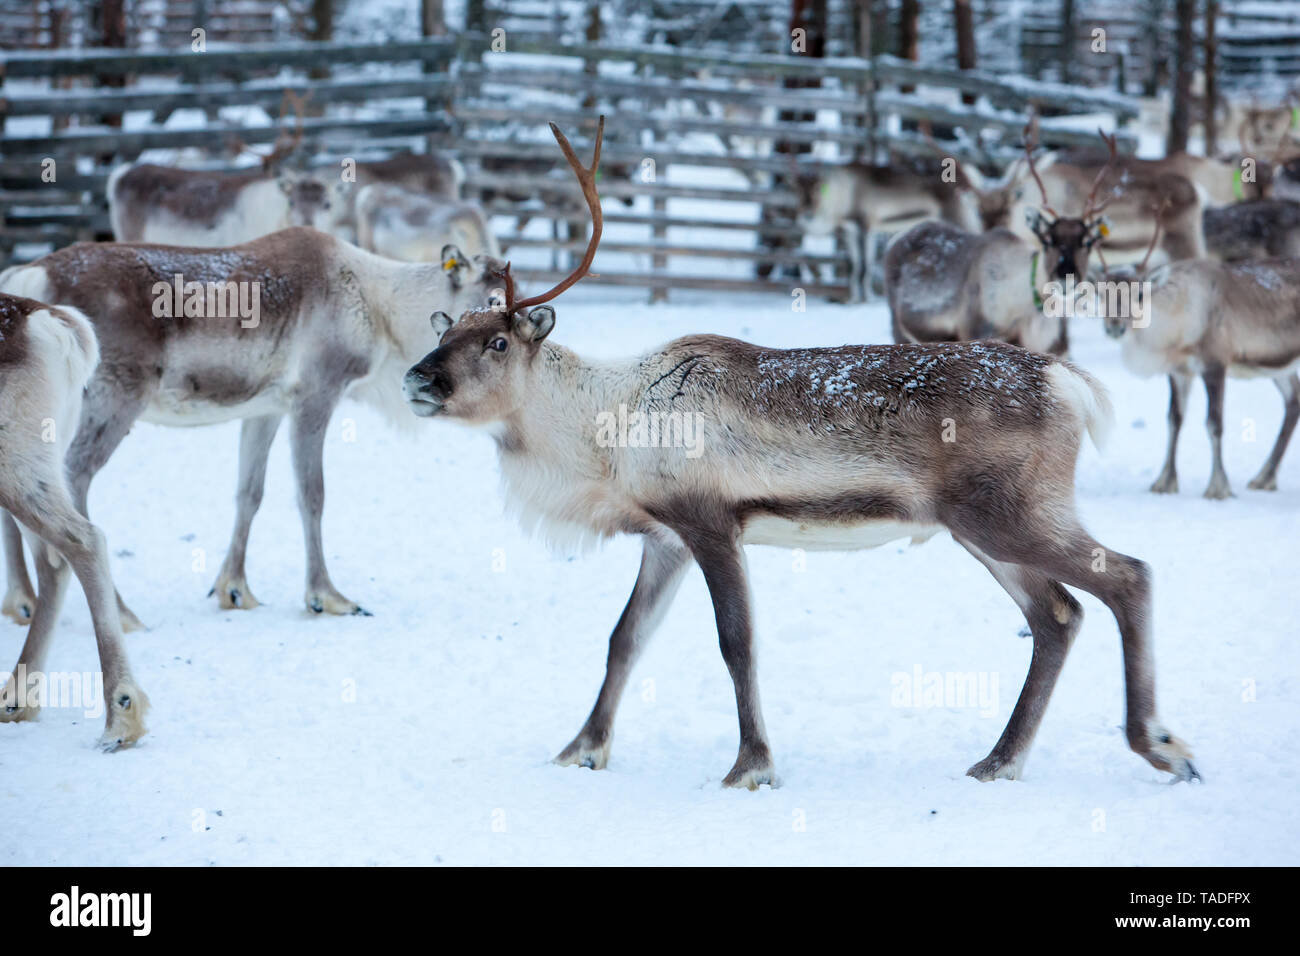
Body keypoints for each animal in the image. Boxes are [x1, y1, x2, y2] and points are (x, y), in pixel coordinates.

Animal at [0, 229, 504, 627]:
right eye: (491, 300)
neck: (381, 310)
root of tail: (30, 276)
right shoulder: (316, 393)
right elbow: (312, 495)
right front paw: (327, 597)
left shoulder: (265, 409)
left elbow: (249, 493)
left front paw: (233, 589)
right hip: (115, 396)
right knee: (75, 479)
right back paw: (119, 612)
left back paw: (23, 601)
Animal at [0, 293, 149, 749]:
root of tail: (50, 320)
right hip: (41, 466)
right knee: (53, 562)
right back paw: (17, 701)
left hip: (15, 468)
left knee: (84, 542)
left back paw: (121, 716)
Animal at [883, 125, 1118, 355]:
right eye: (1047, 241)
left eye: (1088, 243)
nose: (1065, 278)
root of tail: (898, 237)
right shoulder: (974, 330)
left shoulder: (1059, 348)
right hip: (899, 329)